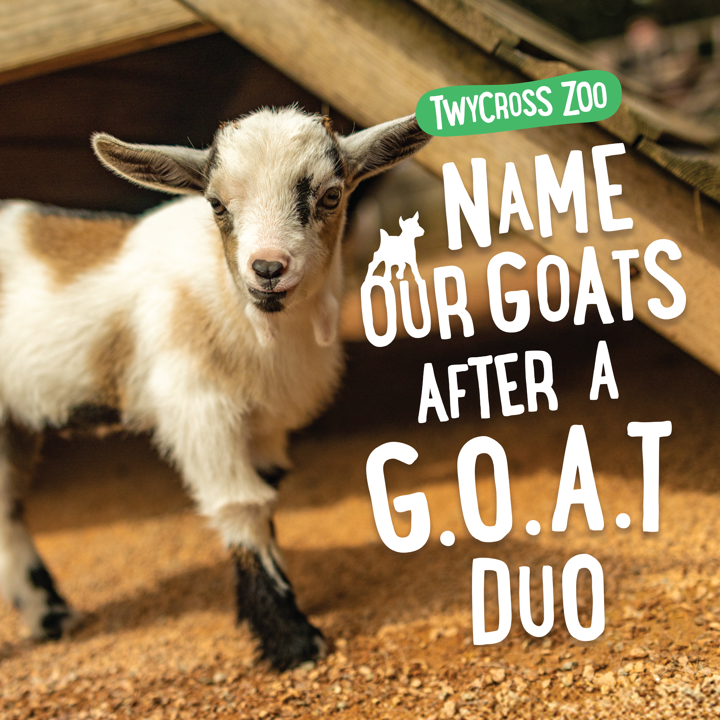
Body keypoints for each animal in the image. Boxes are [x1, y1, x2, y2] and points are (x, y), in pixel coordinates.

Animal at [0, 107, 430, 670]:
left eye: (331, 196)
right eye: (217, 204)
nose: (267, 269)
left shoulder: (264, 421)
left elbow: (266, 500)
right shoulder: (198, 405)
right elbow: (240, 505)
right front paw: (294, 642)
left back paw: (50, 618)